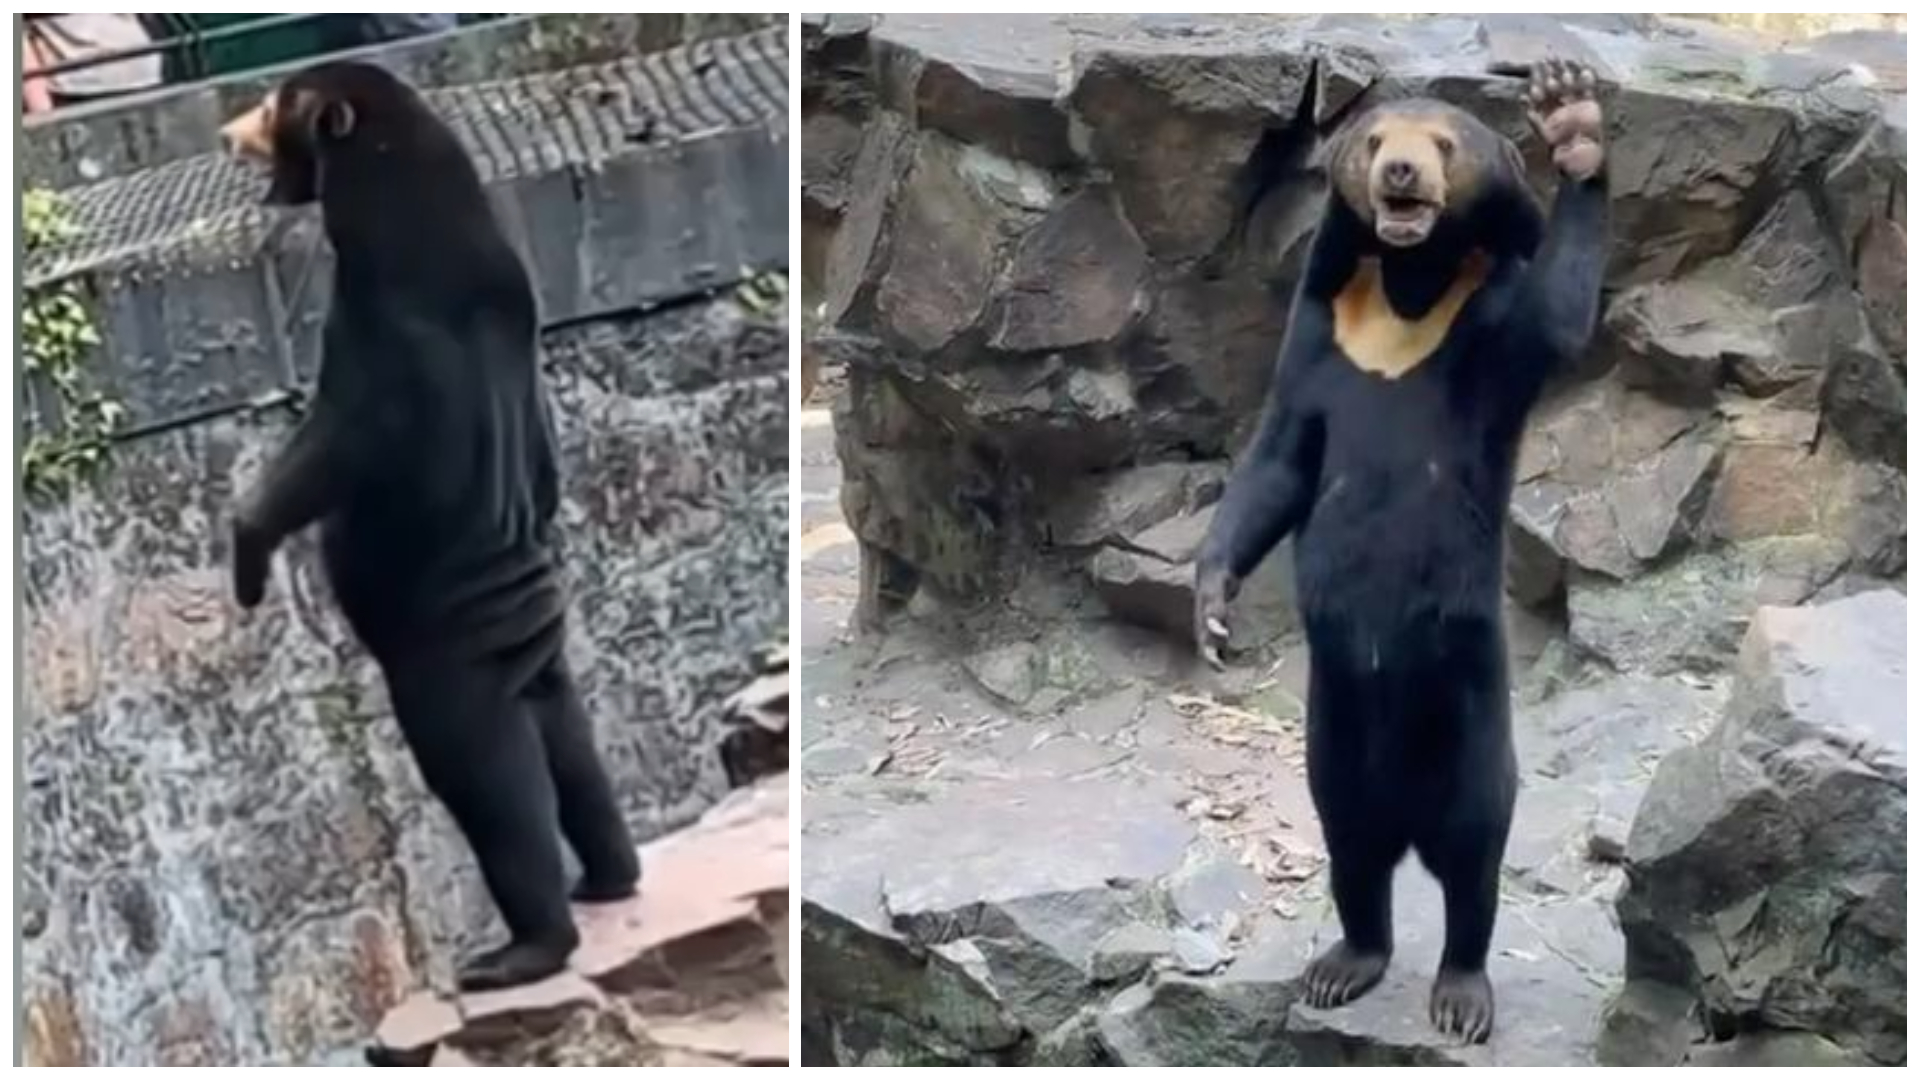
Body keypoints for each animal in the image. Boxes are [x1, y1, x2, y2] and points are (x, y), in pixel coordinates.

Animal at [219, 60, 640, 992]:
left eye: (273, 104)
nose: (228, 133)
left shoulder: (378, 329)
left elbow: (329, 449)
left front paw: (248, 558)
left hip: (445, 662)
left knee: (490, 781)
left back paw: (522, 948)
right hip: (539, 658)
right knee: (573, 745)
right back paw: (610, 875)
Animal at [1192, 60, 1609, 1044]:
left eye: (1446, 144)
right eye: (1377, 141)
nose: (1402, 177)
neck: (1409, 292)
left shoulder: (1493, 325)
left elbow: (1559, 319)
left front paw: (1572, 119)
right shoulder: (1321, 332)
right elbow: (1279, 459)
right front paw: (1212, 612)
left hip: (1469, 706)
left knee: (1474, 847)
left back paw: (1461, 993)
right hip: (1333, 732)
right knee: (1351, 844)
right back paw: (1343, 965)